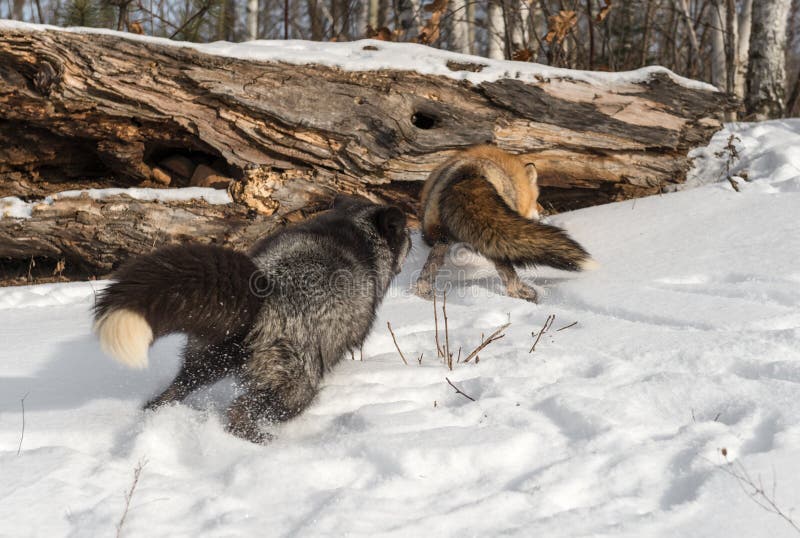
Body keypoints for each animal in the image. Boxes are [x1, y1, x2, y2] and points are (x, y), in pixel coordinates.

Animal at [94, 195, 411, 443]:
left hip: (205, 358)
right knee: (240, 412)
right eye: (405, 233)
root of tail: (261, 294)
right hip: (292, 385)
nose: (412, 241)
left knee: (172, 391)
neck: (353, 229)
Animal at [413, 145, 595, 303]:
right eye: (535, 199)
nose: (544, 211)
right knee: (506, 271)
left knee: (426, 272)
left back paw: (424, 295)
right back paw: (521, 294)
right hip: (493, 235)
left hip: (440, 236)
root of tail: (468, 171)